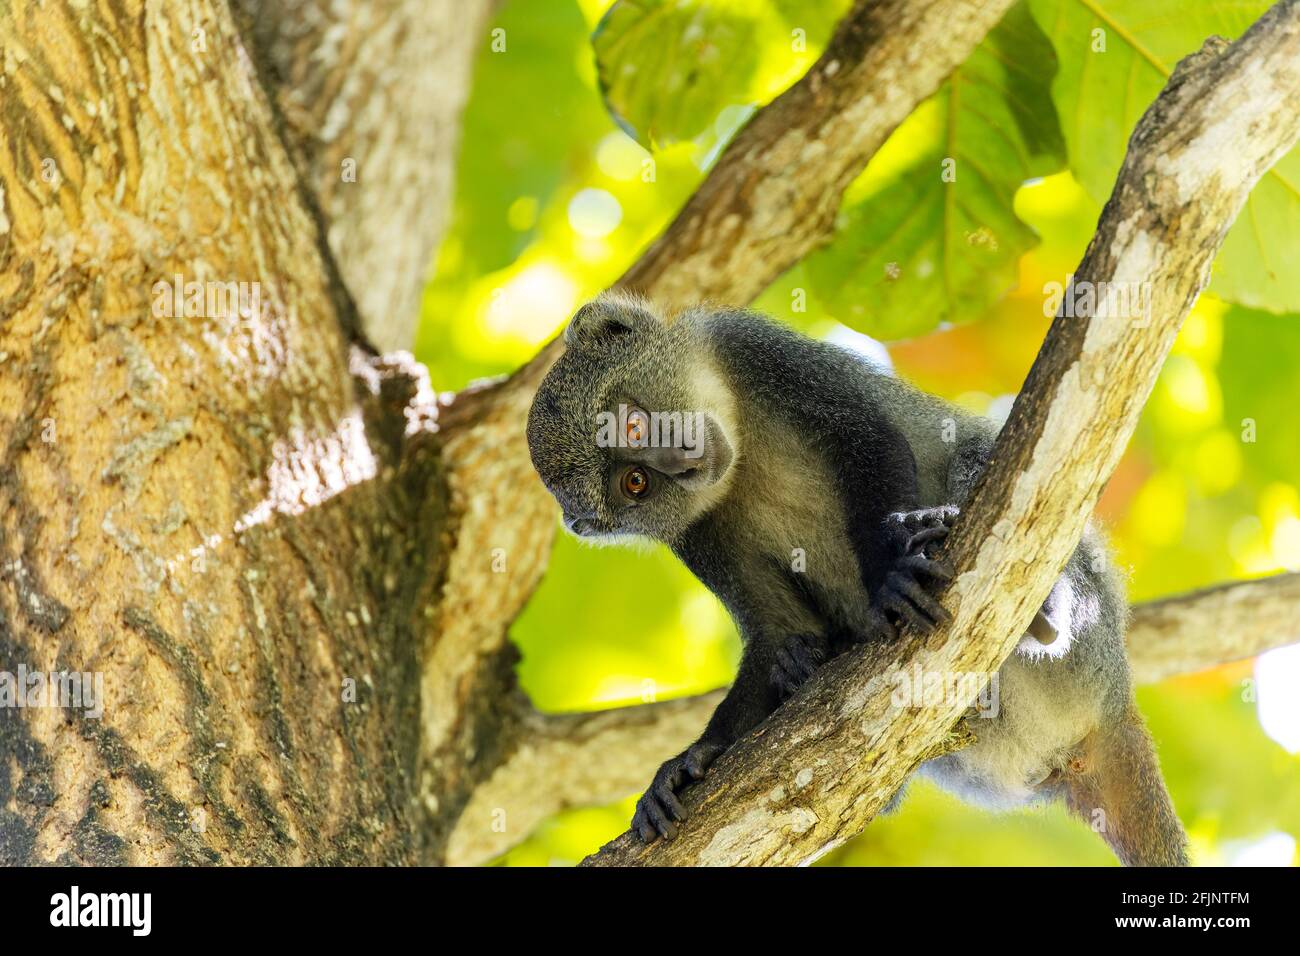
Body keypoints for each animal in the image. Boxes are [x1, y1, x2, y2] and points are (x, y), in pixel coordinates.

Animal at [525, 291, 1188, 867]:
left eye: (636, 427)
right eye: (634, 484)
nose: (681, 462)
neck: (738, 448)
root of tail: (1110, 710)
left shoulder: (756, 350)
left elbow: (868, 441)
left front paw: (891, 577)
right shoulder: (694, 533)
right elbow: (778, 634)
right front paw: (692, 762)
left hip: (1087, 626)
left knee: (980, 455)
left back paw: (1042, 614)